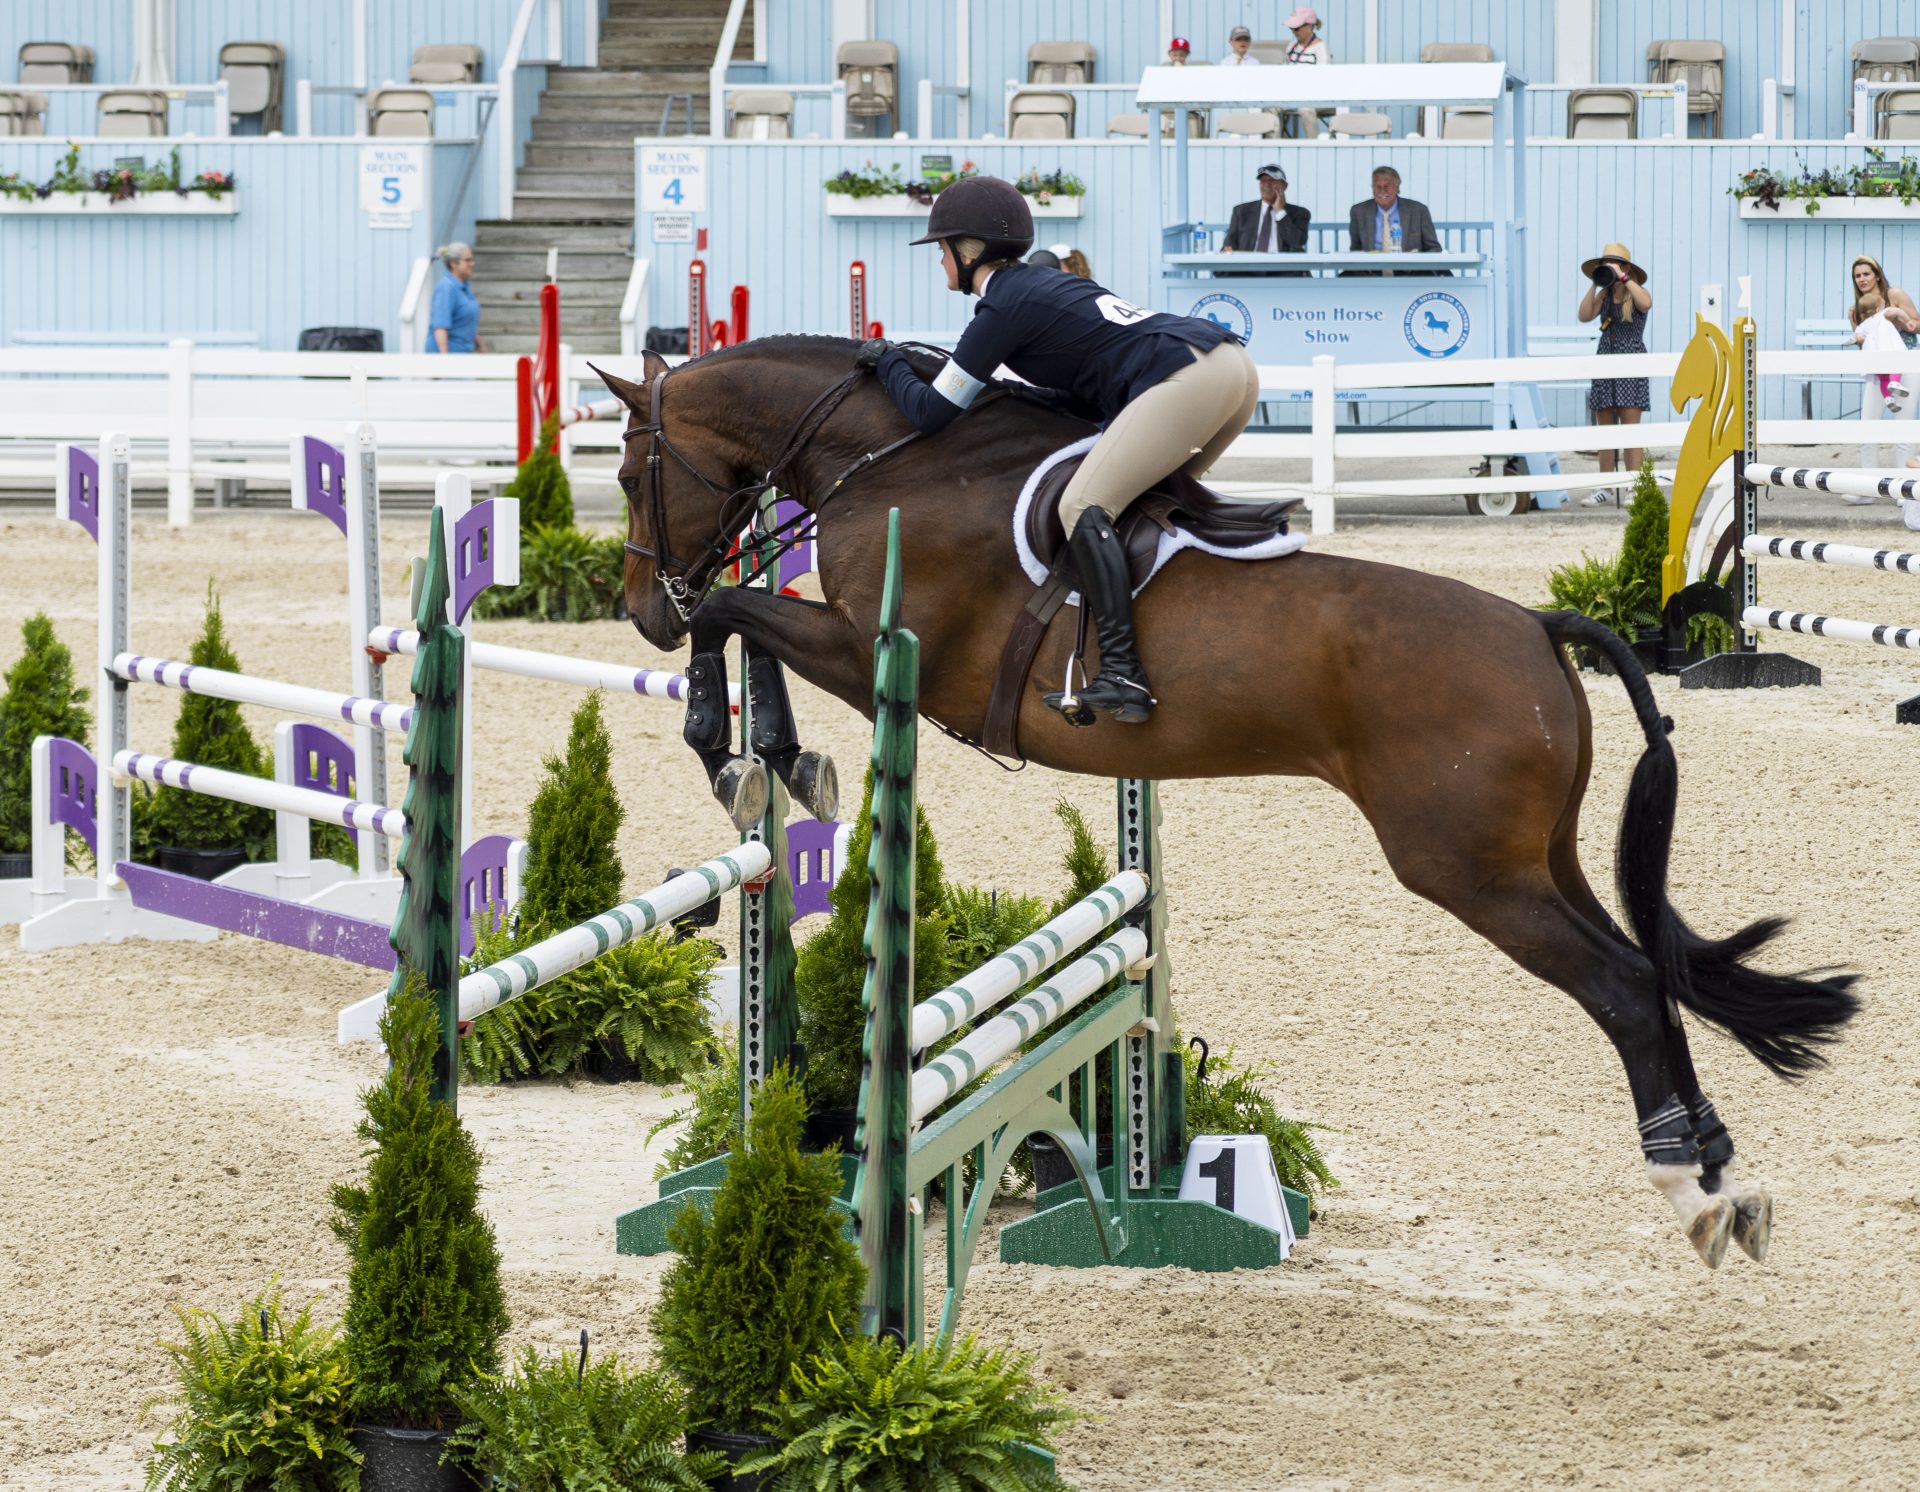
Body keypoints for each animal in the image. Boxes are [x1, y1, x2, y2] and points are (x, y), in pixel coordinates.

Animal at [595, 335, 1859, 1270]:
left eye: (622, 475)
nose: (641, 613)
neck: (897, 459)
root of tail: (1540, 628)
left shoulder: (876, 651)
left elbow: (741, 612)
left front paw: (738, 747)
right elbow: (746, 615)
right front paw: (771, 756)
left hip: (1470, 872)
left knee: (1623, 989)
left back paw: (1687, 1188)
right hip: (1535, 860)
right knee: (1646, 971)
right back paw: (1721, 1173)